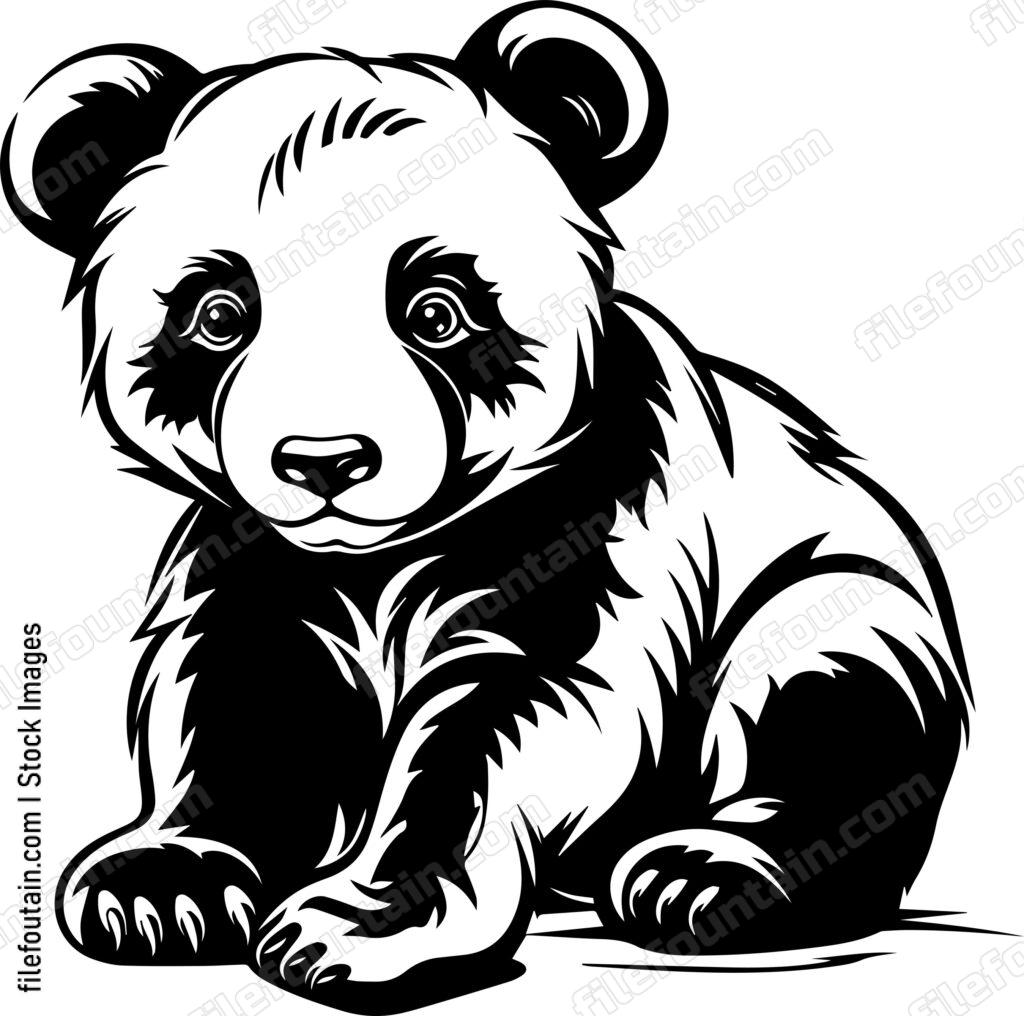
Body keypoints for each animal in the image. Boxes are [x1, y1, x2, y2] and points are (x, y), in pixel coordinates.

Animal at [2, 2, 970, 1010]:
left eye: (437, 310)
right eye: (219, 314)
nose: (324, 461)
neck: (378, 554)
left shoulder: (588, 514)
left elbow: (511, 708)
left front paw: (353, 928)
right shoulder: (251, 553)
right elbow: (242, 695)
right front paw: (159, 885)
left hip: (822, 585)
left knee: (827, 703)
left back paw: (703, 874)